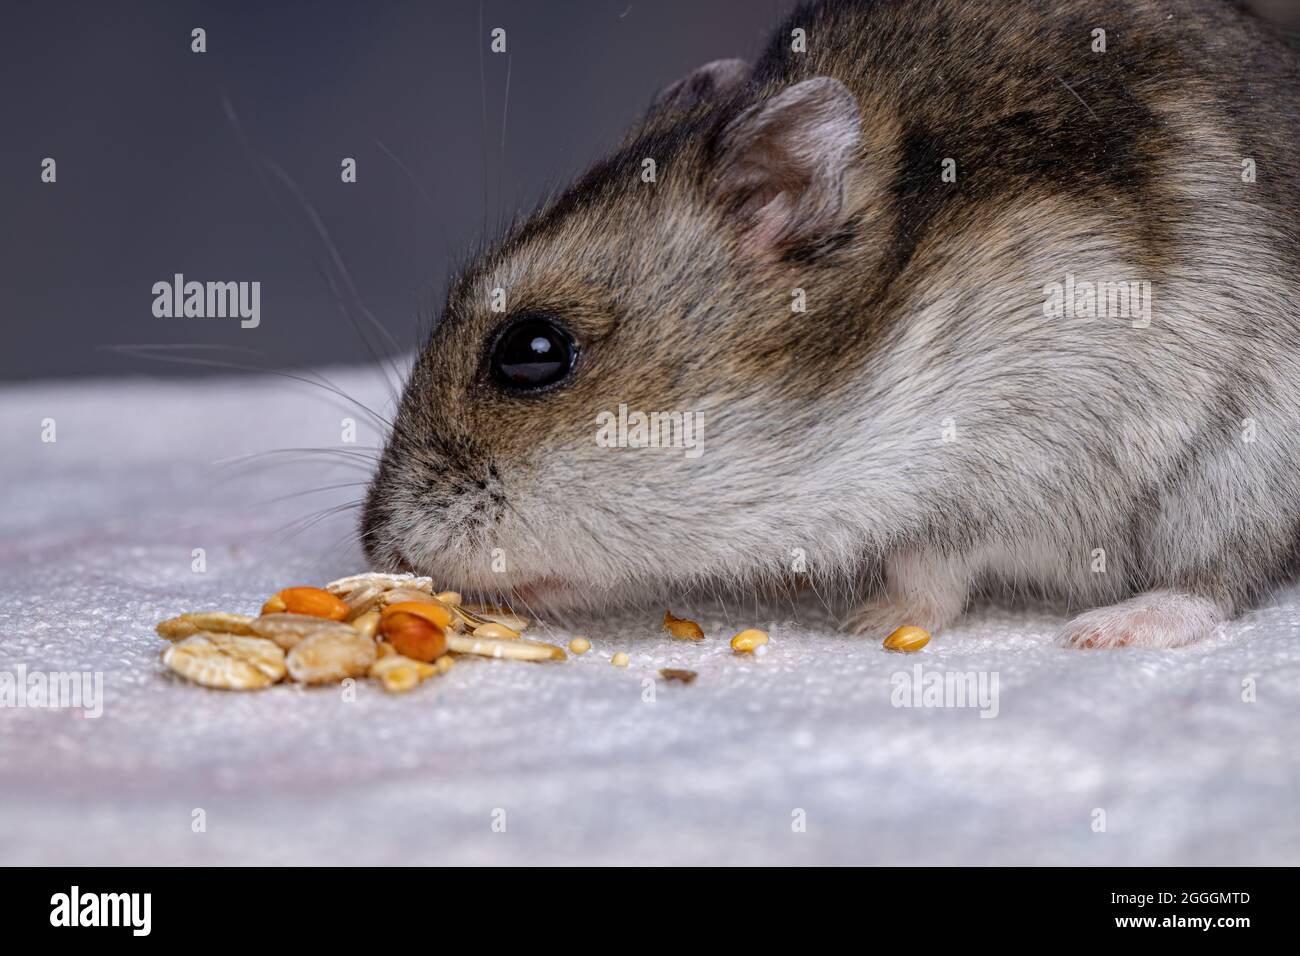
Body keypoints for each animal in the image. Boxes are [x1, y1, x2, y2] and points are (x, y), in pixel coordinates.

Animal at [361, 0, 1300, 649]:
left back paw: (1108, 629)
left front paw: (870, 621)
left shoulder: (1020, 455)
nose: (382, 550)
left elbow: (929, 560)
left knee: (1220, 577)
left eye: (532, 351)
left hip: (1241, 467)